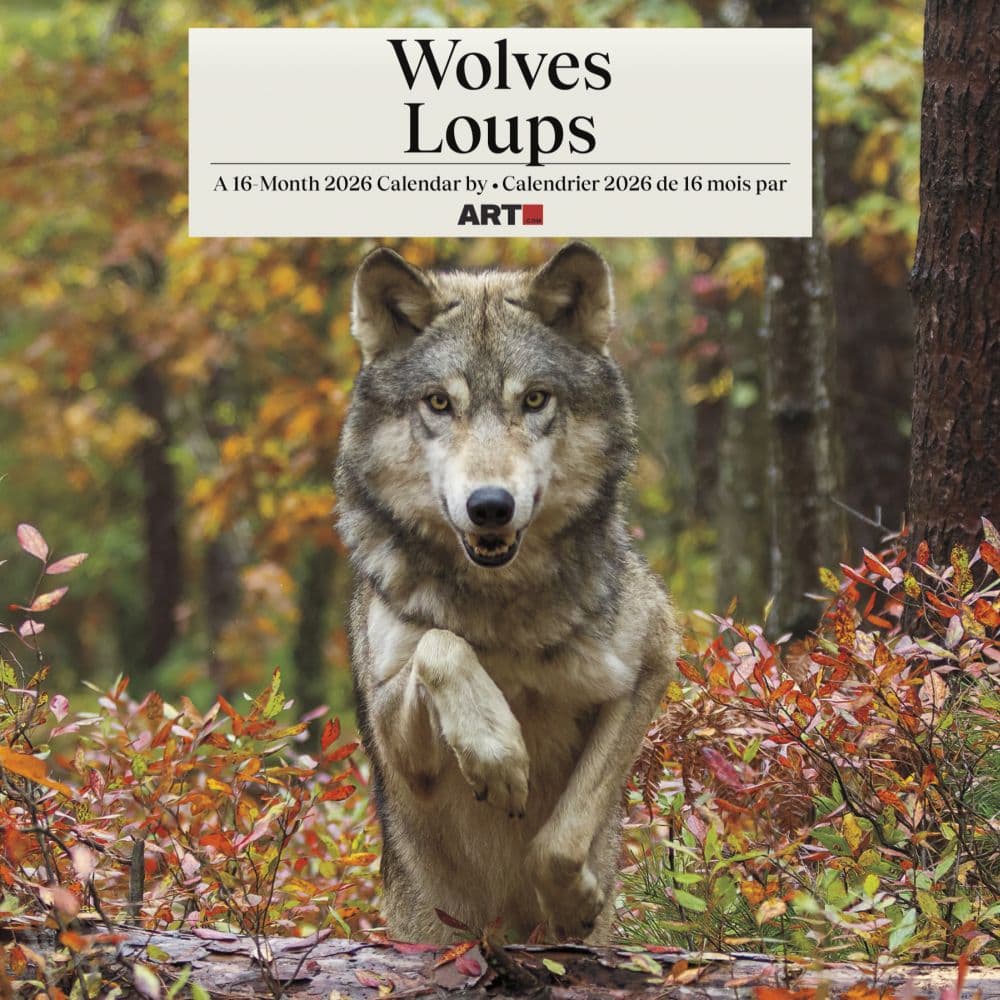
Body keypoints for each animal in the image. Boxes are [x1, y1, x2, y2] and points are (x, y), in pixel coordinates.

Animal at [334, 241, 680, 944]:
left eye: (536, 399)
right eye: (440, 403)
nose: (490, 505)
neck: (502, 606)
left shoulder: (651, 661)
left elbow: (559, 843)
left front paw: (572, 902)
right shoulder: (400, 748)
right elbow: (440, 646)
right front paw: (497, 753)